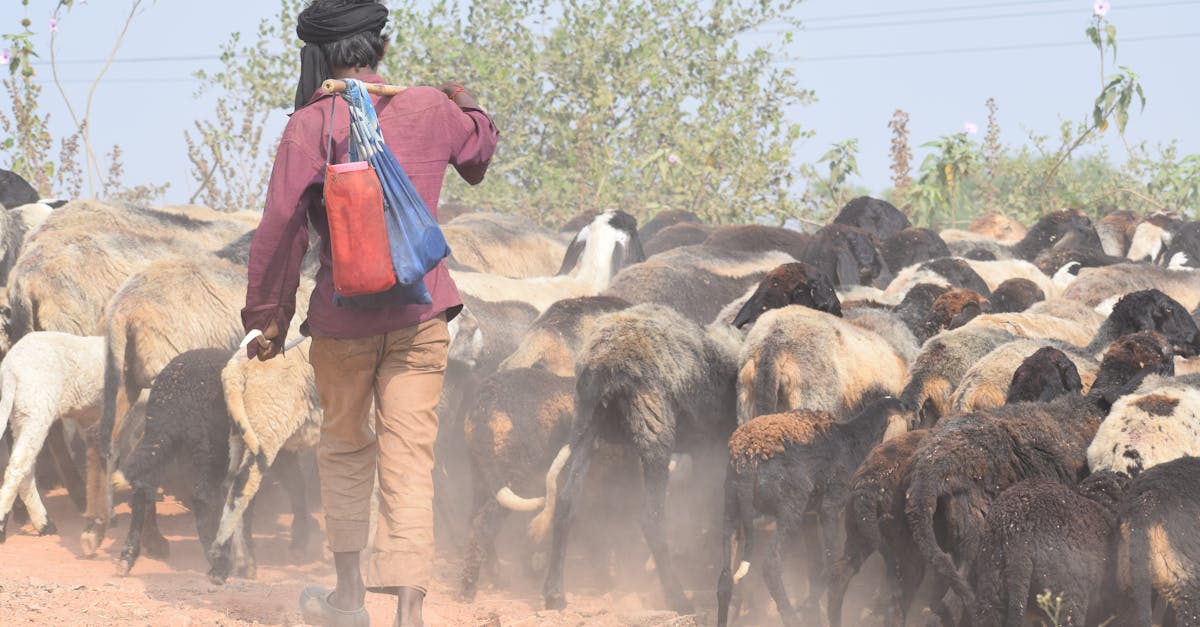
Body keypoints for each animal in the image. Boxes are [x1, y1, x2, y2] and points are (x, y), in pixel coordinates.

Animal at [113, 345, 314, 576]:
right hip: (209, 445)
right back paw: (217, 558)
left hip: (162, 440)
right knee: (203, 496)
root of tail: (174, 395)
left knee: (143, 488)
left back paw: (130, 555)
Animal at [715, 396, 902, 624]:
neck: (853, 439)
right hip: (791, 507)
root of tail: (746, 459)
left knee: (725, 578)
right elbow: (831, 562)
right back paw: (792, 618)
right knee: (771, 566)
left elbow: (817, 566)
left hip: (732, 506)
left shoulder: (810, 515)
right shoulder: (831, 507)